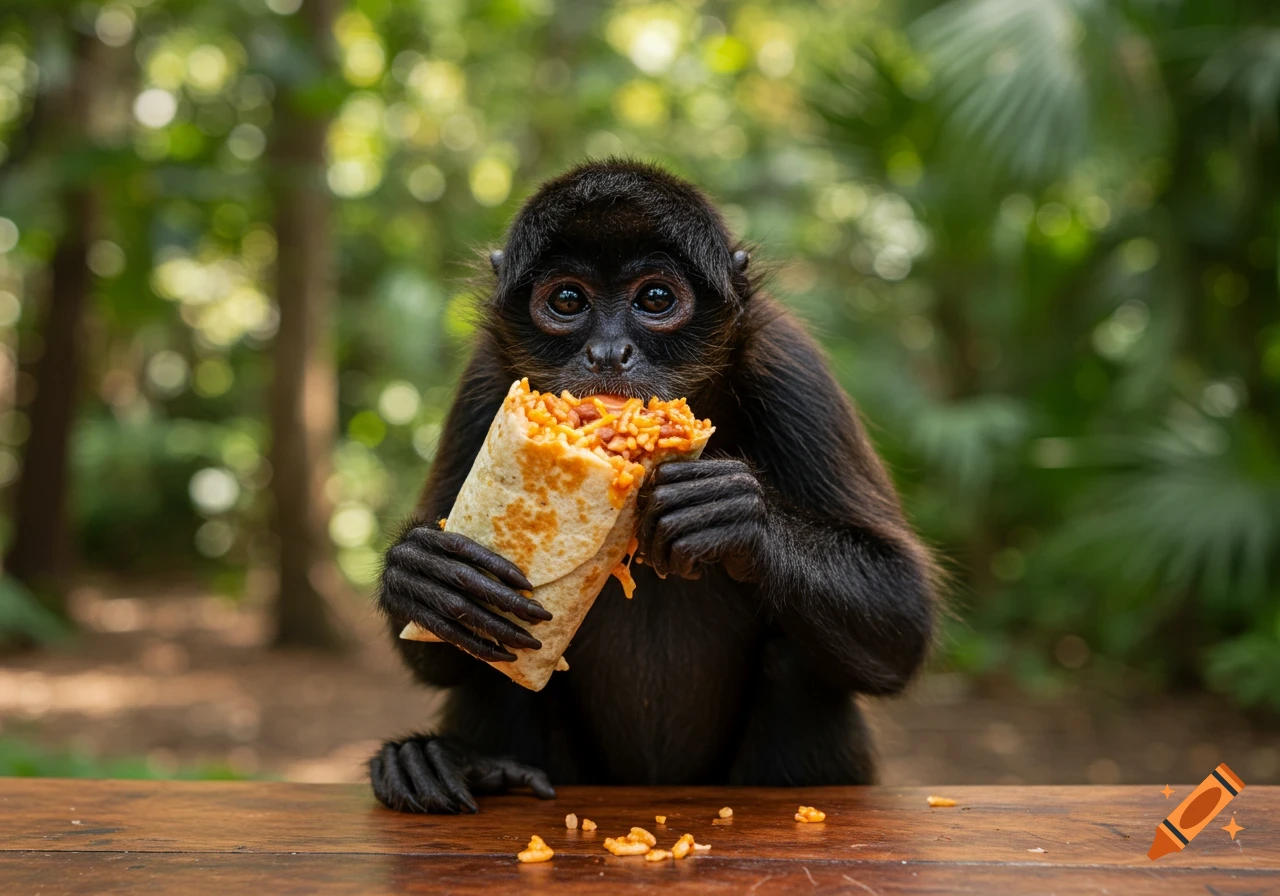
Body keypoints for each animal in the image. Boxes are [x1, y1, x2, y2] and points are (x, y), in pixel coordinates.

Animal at [370, 159, 936, 813]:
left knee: (794, 659)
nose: (609, 352)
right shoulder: (485, 377)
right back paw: (452, 765)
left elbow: (905, 619)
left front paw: (733, 518)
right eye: (567, 299)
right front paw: (423, 573)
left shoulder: (790, 365)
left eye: (656, 298)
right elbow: (440, 657)